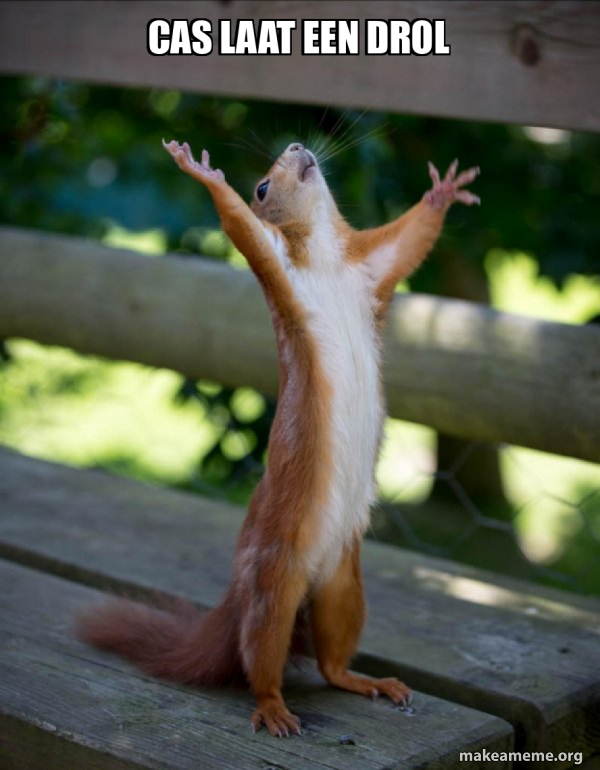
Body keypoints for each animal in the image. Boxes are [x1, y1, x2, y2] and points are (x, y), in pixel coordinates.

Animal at [77, 138, 479, 738]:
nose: (296, 147)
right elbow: (240, 226)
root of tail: (239, 595)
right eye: (262, 187)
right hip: (273, 585)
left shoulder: (372, 267)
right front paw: (204, 174)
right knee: (260, 658)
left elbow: (409, 240)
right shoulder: (277, 266)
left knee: (332, 661)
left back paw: (368, 681)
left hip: (344, 586)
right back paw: (273, 708)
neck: (327, 257)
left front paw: (443, 192)